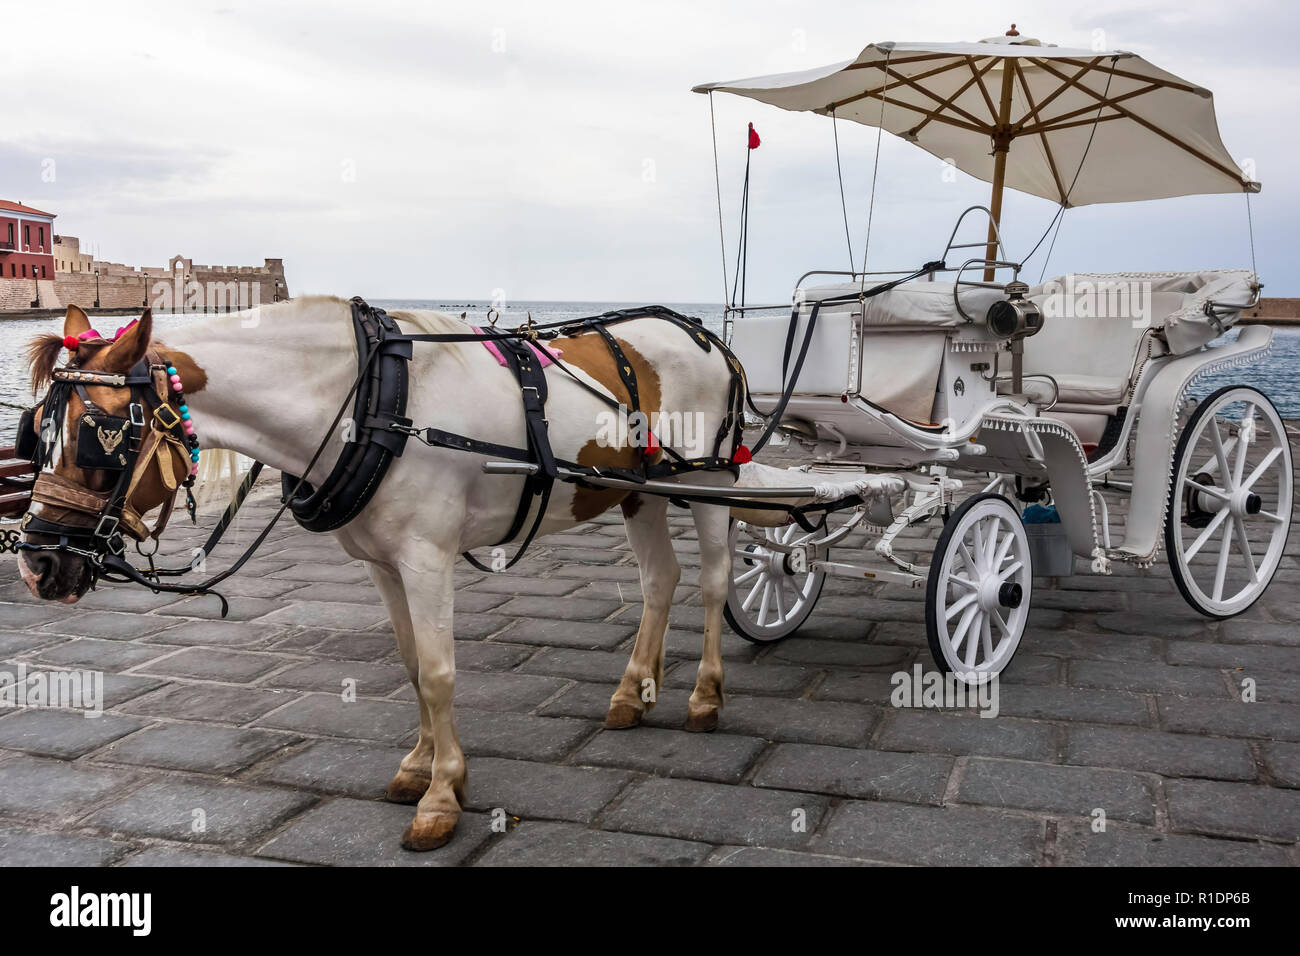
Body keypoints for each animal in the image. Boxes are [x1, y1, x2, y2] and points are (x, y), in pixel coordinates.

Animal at [17, 300, 741, 850]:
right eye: (34, 433)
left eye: (100, 436)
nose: (37, 562)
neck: (370, 402)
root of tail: (703, 335)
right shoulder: (384, 565)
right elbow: (413, 666)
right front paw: (418, 769)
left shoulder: (427, 558)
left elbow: (441, 673)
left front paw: (443, 797)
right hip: (640, 493)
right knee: (659, 580)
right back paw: (633, 691)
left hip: (709, 482)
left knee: (712, 581)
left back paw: (705, 697)